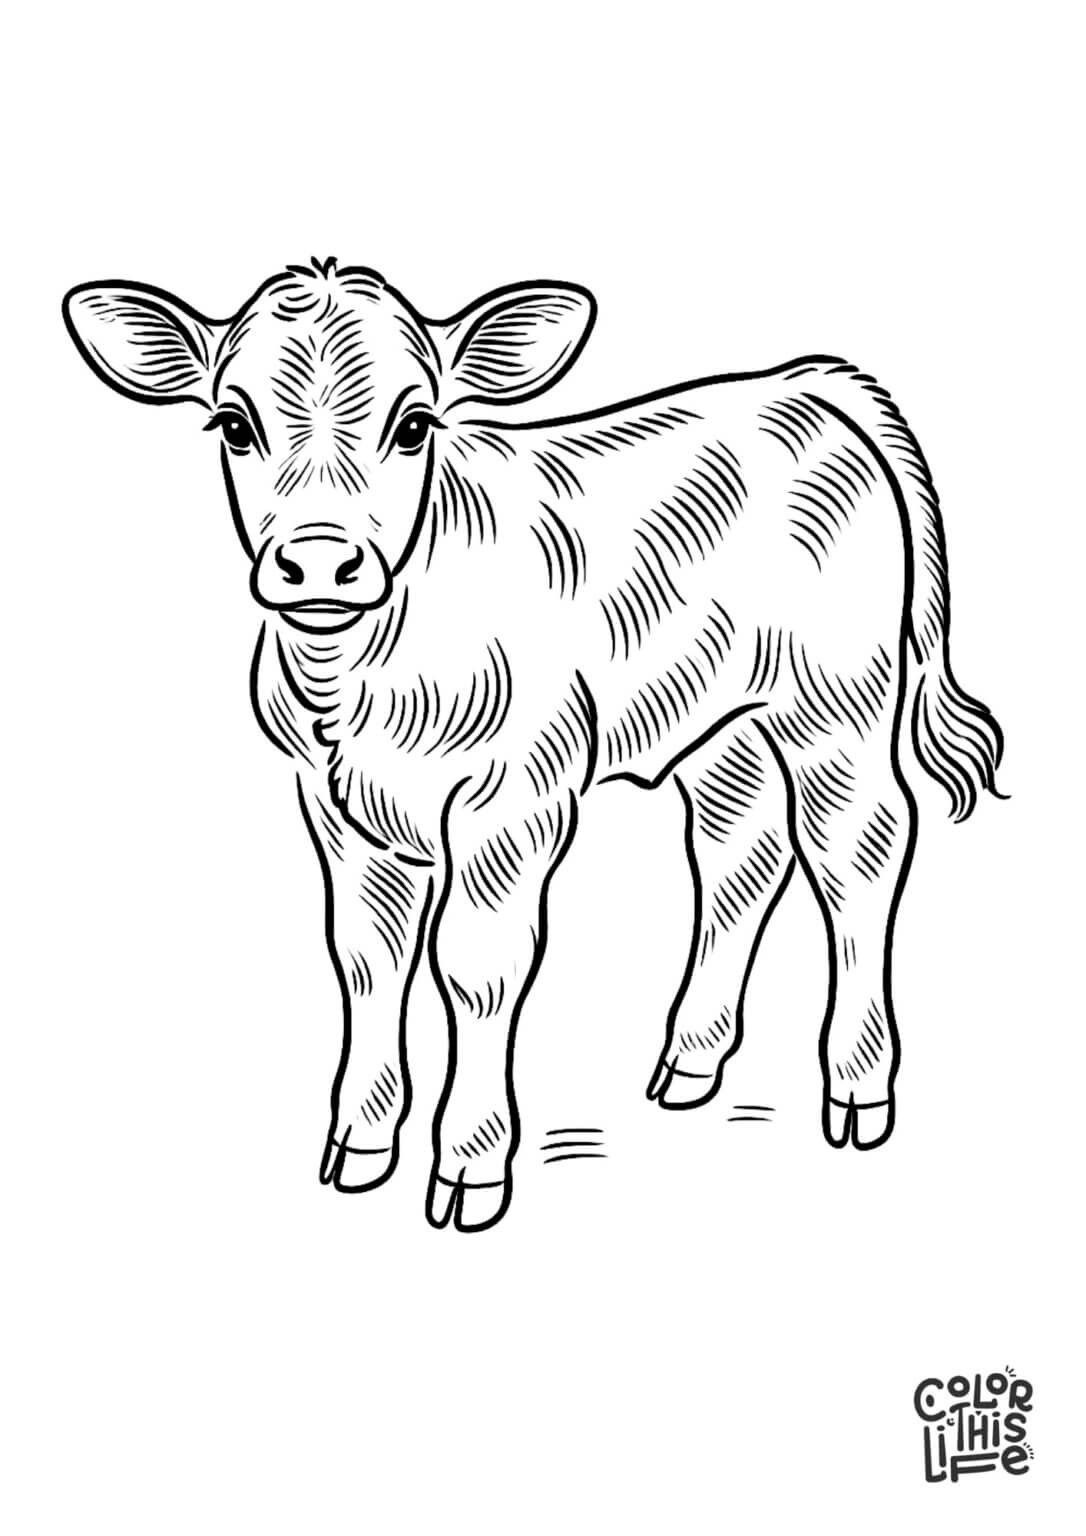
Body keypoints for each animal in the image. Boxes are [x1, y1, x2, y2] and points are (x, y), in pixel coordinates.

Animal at [63, 257, 1004, 1231]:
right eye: (234, 424)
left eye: (414, 424)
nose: (321, 562)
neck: (360, 674)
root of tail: (795, 384)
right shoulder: (338, 810)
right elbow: (366, 962)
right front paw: (360, 1145)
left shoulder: (513, 803)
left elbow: (475, 968)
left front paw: (469, 1167)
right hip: (718, 721)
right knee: (739, 851)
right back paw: (690, 1061)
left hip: (838, 703)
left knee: (858, 853)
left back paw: (856, 1088)